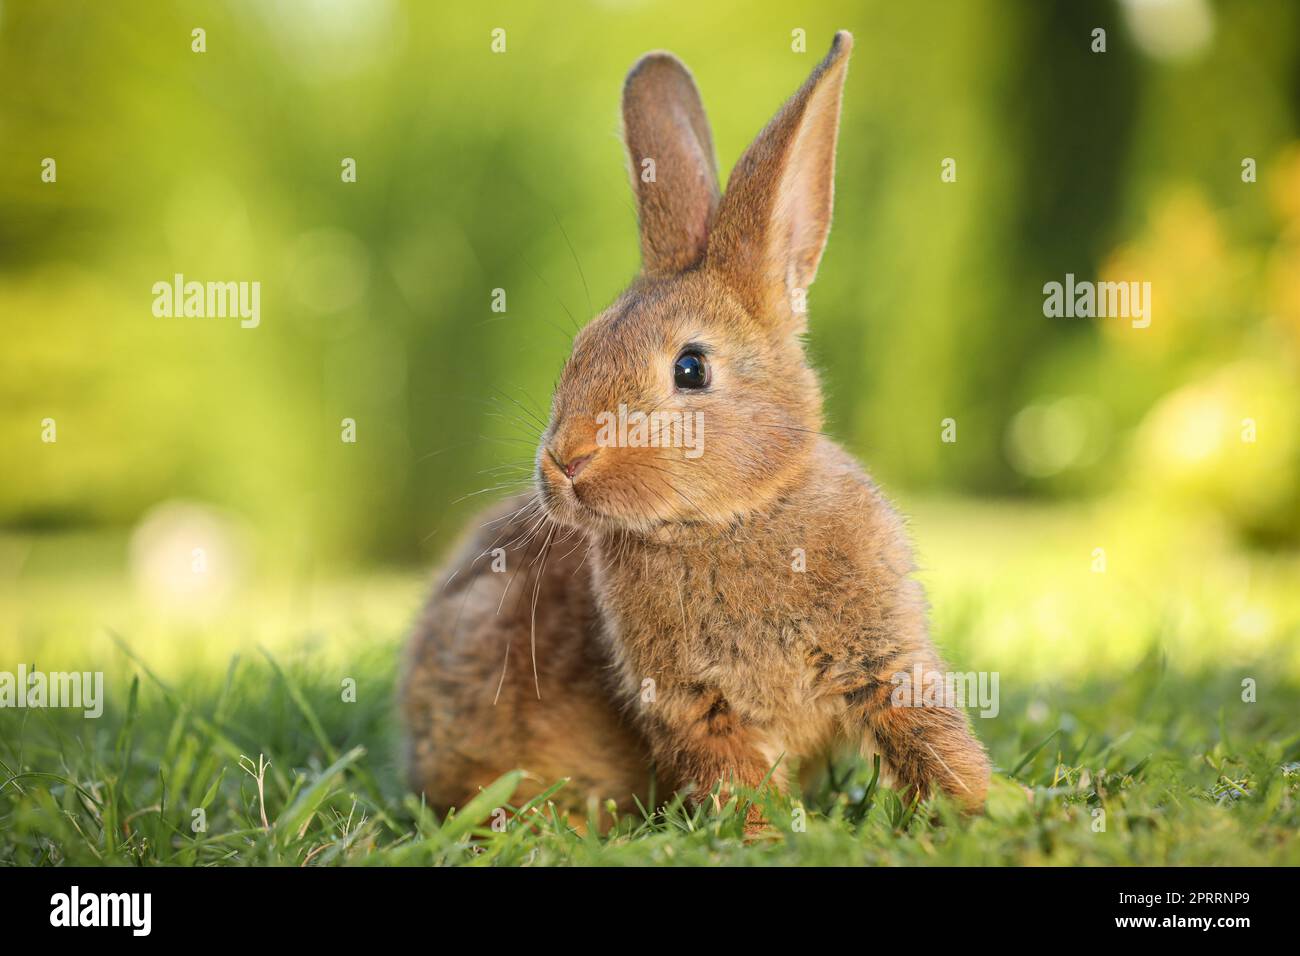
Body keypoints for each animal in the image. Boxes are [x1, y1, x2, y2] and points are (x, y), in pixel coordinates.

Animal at [401, 30, 990, 832]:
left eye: (690, 368)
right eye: (579, 350)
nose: (565, 463)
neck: (732, 518)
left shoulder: (886, 659)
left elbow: (929, 734)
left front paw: (987, 808)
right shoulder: (694, 705)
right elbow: (731, 774)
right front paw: (763, 836)